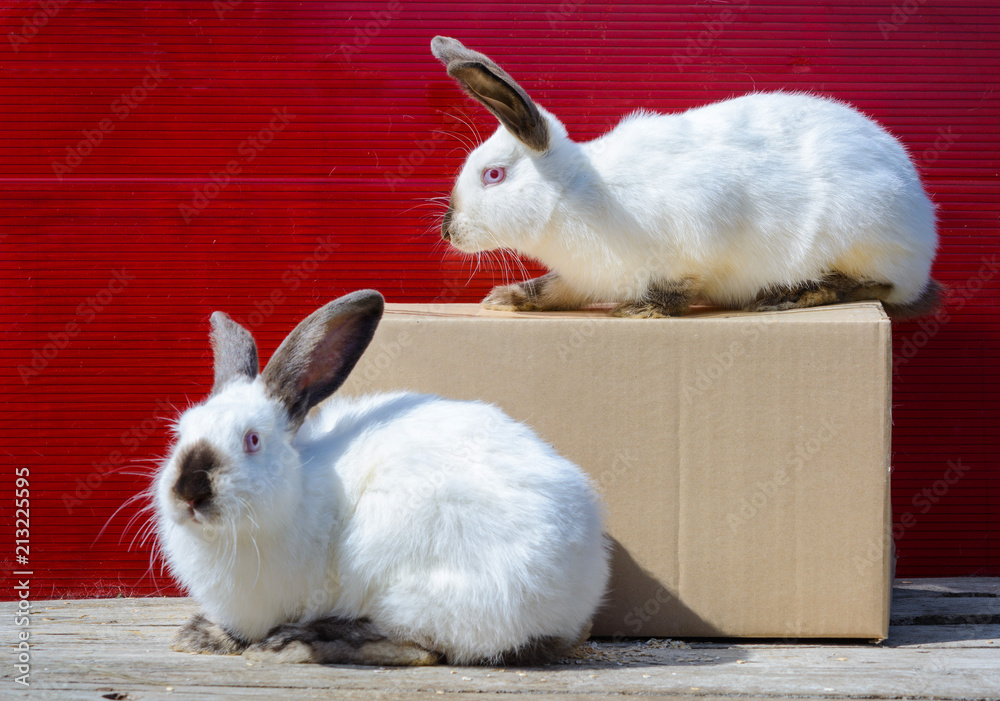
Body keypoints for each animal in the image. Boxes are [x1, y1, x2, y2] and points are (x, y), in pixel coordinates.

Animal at [154, 289, 609, 666]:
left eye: (252, 440)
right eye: (181, 432)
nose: (189, 492)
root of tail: (581, 587)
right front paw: (201, 635)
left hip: (414, 586)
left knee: (422, 648)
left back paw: (293, 644)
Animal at [430, 36, 941, 319]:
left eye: (493, 175)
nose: (448, 232)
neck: (576, 193)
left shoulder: (695, 235)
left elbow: (679, 286)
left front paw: (642, 310)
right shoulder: (583, 277)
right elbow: (554, 289)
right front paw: (505, 298)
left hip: (866, 236)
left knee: (875, 285)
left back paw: (788, 297)